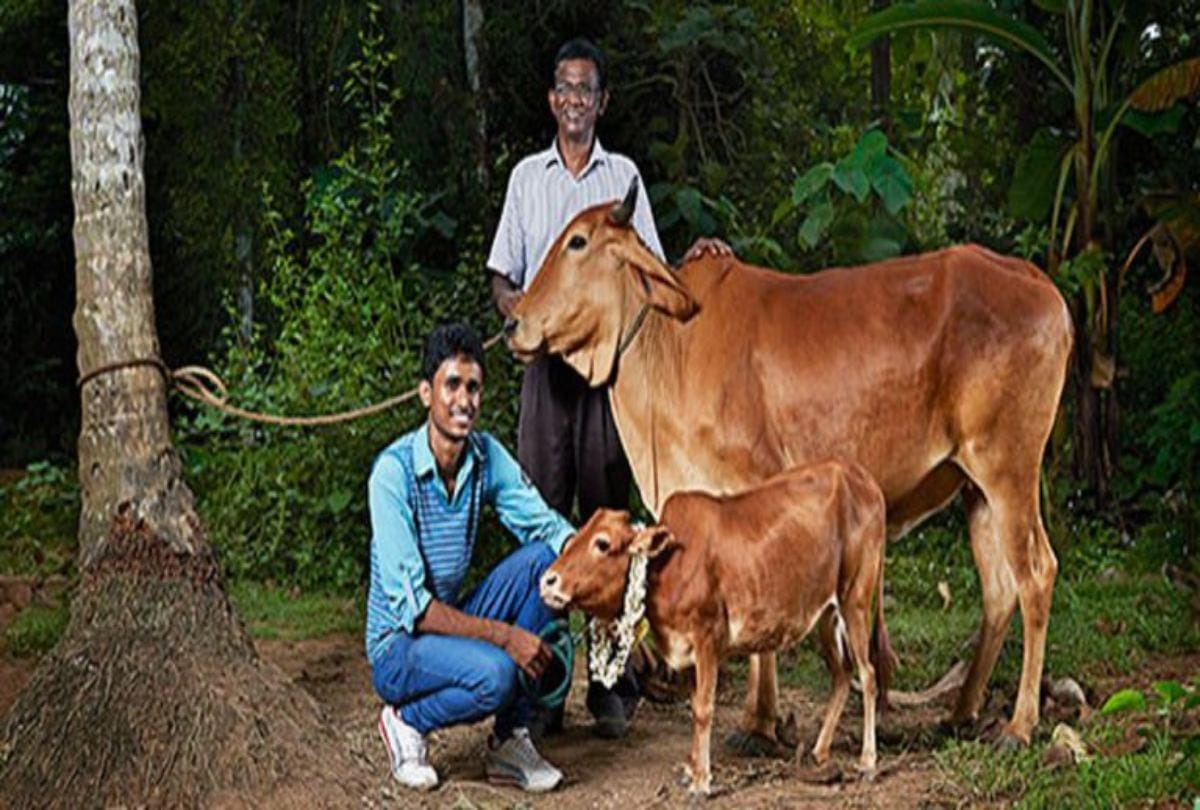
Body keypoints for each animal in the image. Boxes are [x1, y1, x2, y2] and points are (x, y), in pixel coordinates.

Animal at [507, 178, 1073, 747]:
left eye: (578, 241)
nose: (513, 320)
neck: (669, 341)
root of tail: (1034, 280)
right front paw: (765, 720)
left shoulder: (749, 486)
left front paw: (758, 722)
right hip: (976, 486)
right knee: (999, 588)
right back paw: (961, 712)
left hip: (1008, 469)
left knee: (1036, 575)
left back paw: (1020, 724)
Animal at [539, 460, 894, 794]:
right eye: (576, 536)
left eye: (602, 543)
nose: (548, 580)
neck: (668, 565)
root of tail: (863, 479)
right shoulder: (687, 647)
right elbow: (695, 703)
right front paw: (692, 768)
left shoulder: (707, 637)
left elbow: (704, 708)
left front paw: (702, 781)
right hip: (825, 613)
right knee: (842, 676)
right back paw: (820, 751)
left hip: (855, 598)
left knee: (868, 674)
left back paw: (868, 761)